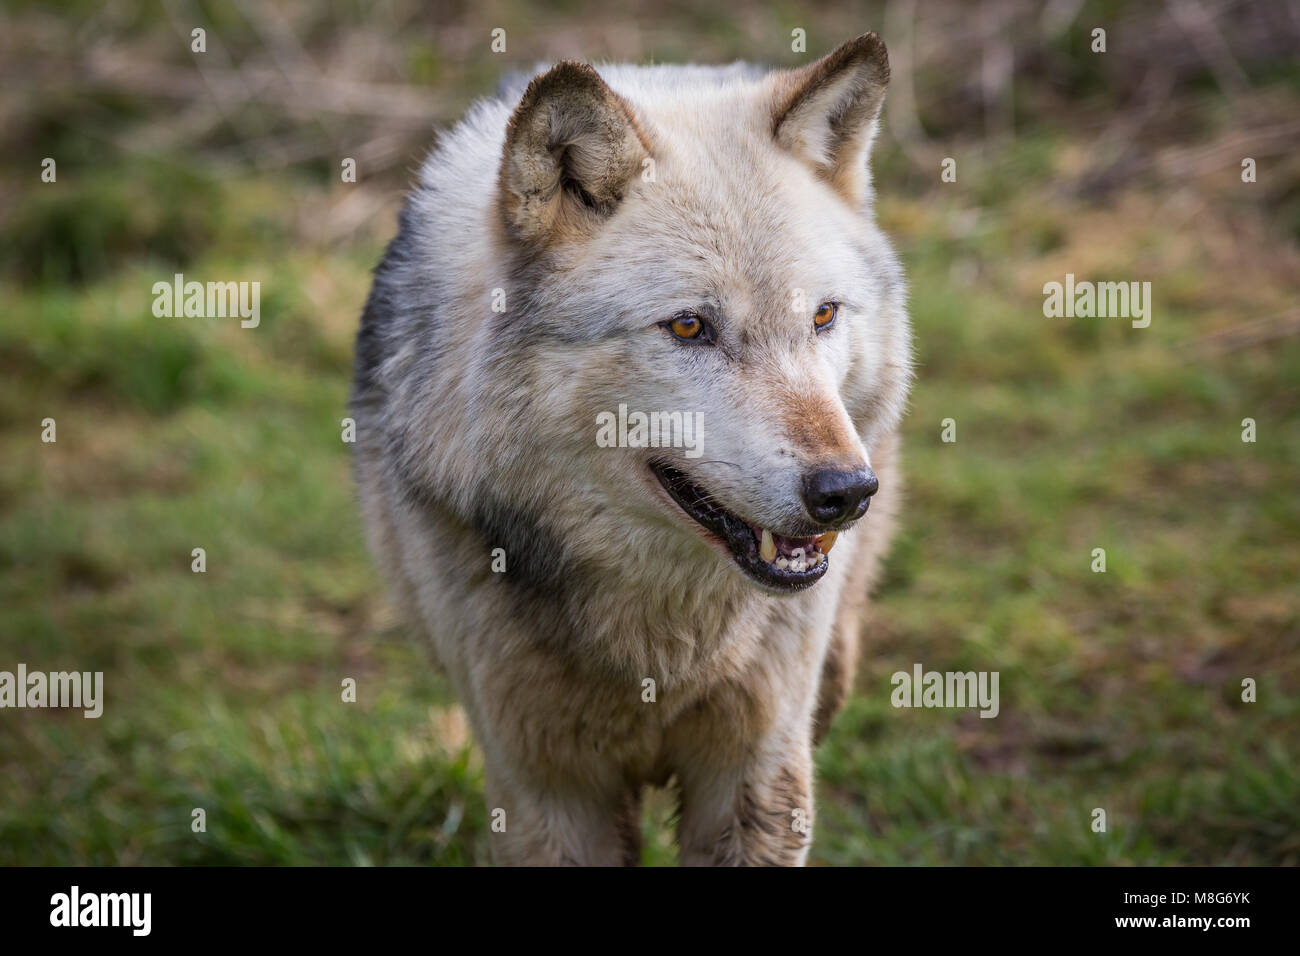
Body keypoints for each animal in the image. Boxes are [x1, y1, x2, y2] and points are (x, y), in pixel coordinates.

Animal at [351, 33, 911, 865]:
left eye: (822, 316)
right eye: (689, 327)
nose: (845, 492)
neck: (662, 645)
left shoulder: (757, 772)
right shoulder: (544, 789)